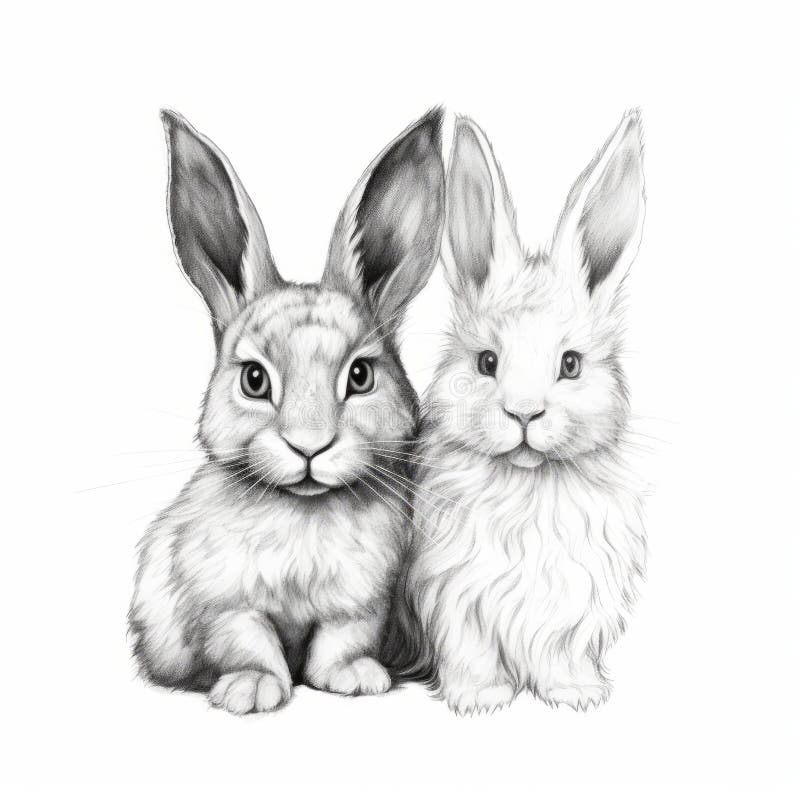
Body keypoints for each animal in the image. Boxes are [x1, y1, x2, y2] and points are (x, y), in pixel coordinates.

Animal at [129, 108, 445, 714]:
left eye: (360, 376)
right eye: (254, 380)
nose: (309, 445)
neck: (304, 508)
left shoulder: (359, 605)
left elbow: (340, 642)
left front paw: (355, 679)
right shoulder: (225, 605)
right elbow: (248, 644)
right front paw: (251, 691)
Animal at [389, 111, 648, 715]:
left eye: (571, 364)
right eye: (487, 362)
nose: (525, 414)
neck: (530, 485)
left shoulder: (574, 603)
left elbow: (562, 653)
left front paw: (577, 695)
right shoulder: (455, 596)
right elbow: (471, 651)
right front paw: (481, 700)